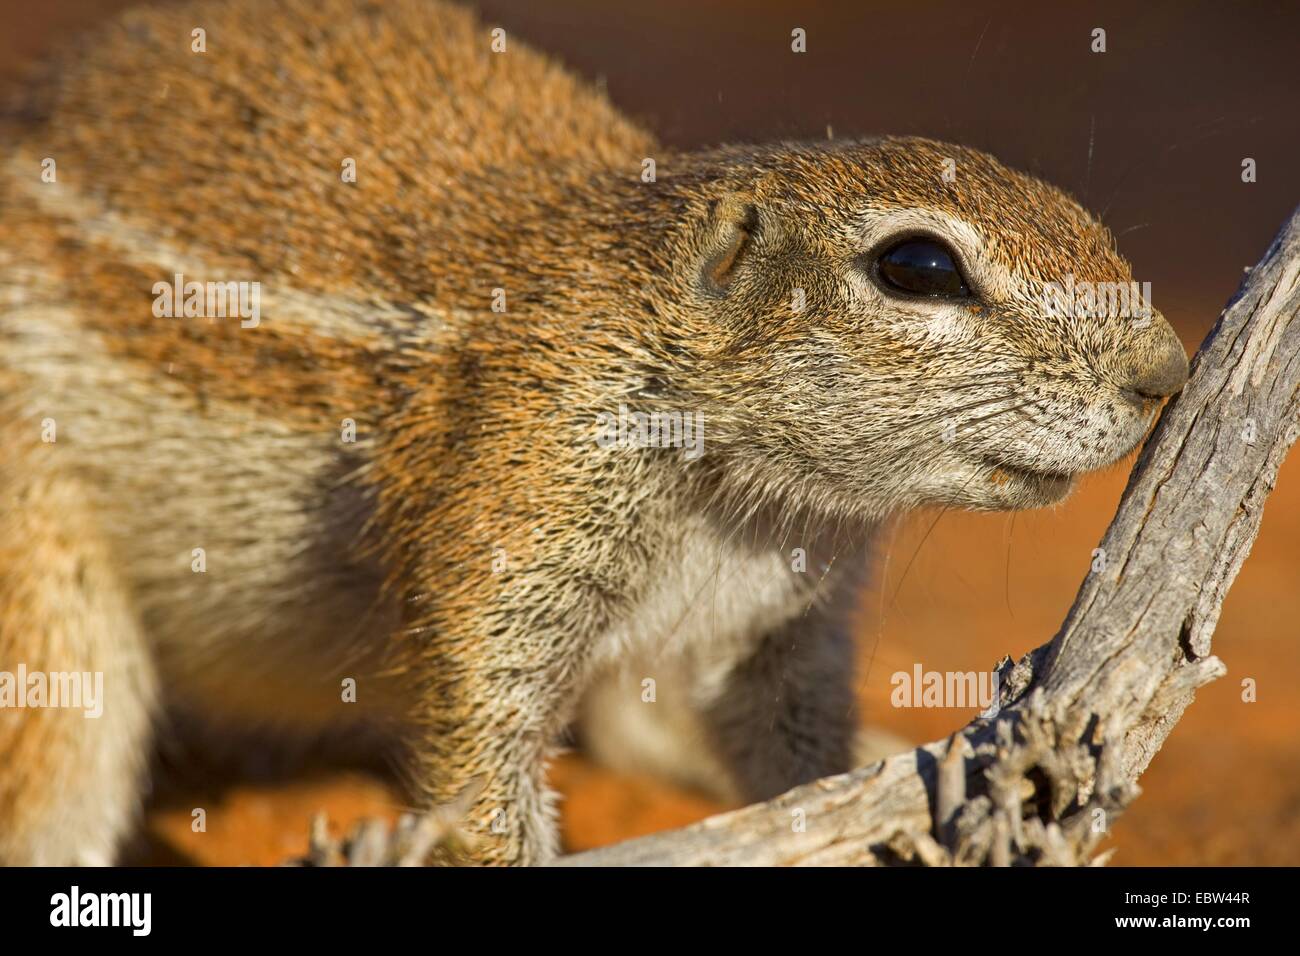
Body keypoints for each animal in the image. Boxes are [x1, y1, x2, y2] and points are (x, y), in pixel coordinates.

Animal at [0, 0, 1188, 865]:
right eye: (918, 267)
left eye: (1081, 217)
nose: (1166, 375)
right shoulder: (514, 512)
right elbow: (482, 767)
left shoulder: (787, 626)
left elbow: (795, 753)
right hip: (47, 596)